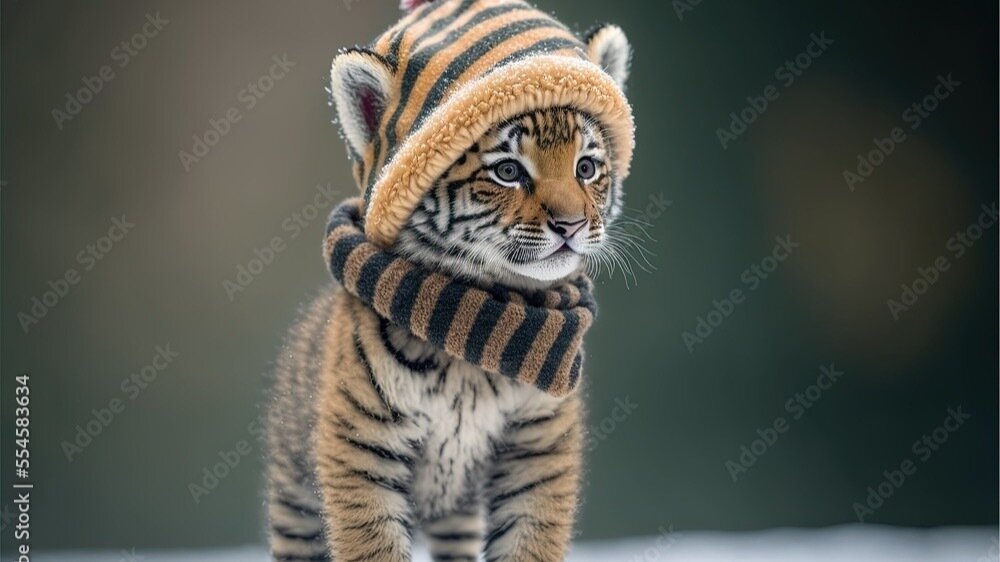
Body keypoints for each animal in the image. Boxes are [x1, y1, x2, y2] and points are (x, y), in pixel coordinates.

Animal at [265, 1, 635, 560]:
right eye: (508, 171)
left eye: (587, 167)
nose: (571, 225)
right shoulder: (361, 448)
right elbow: (373, 545)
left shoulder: (538, 449)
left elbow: (528, 541)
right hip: (295, 499)